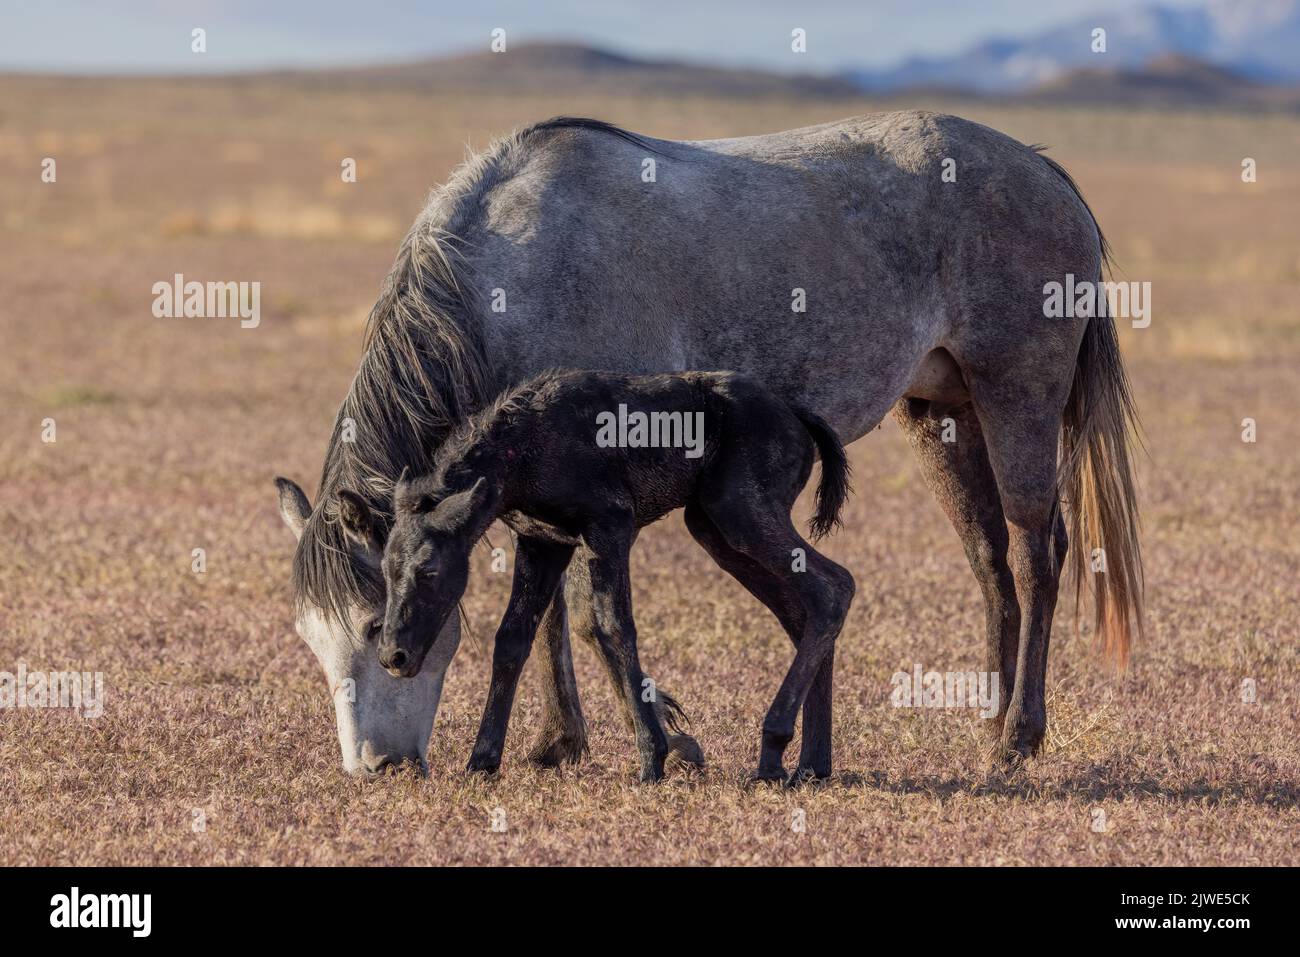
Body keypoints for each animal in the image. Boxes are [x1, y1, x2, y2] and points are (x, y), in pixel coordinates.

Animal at [274, 112, 1143, 777]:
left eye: (372, 624)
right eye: (311, 640)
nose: (376, 767)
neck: (512, 278)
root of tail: (1048, 170)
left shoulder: (602, 507)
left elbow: (588, 622)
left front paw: (668, 744)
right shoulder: (538, 513)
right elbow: (541, 622)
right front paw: (559, 741)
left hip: (1016, 399)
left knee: (1036, 553)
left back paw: (1019, 738)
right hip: (942, 415)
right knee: (989, 561)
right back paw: (987, 722)